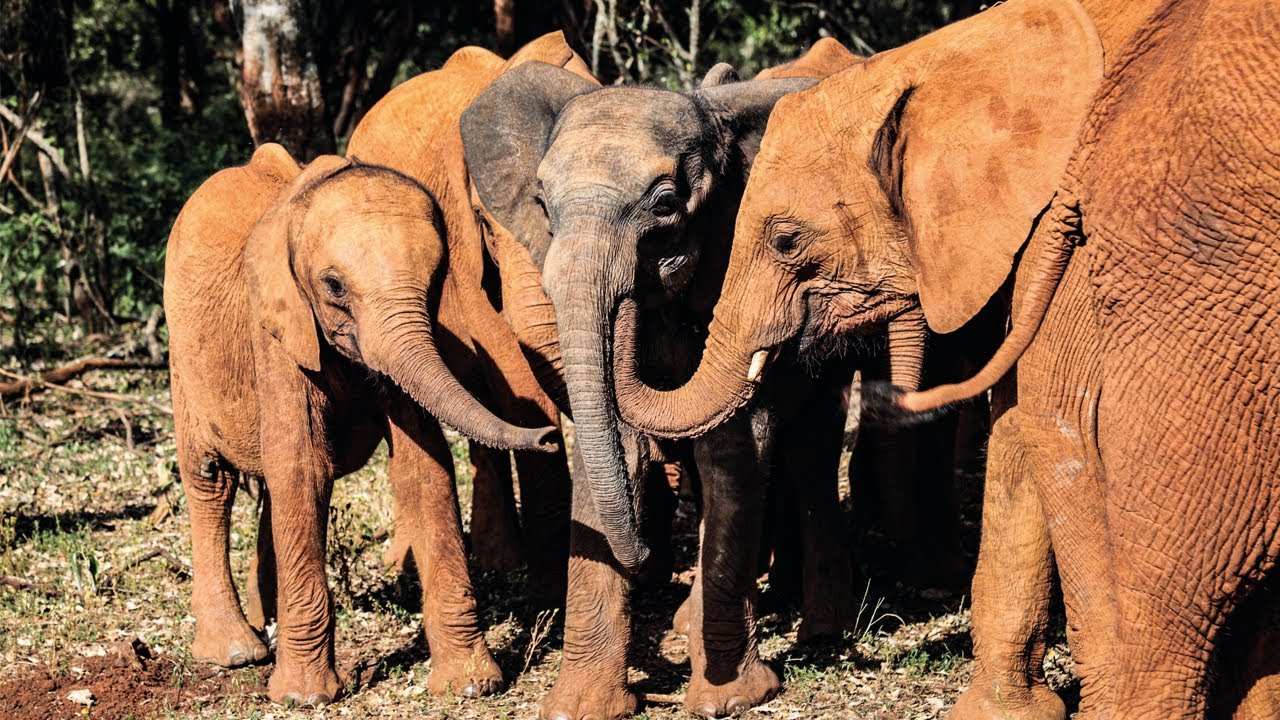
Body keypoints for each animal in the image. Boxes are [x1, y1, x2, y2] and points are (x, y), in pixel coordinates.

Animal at [164, 143, 557, 705]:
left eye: (436, 279)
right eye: (333, 286)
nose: (547, 436)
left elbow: (423, 465)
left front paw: (470, 686)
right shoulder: (278, 327)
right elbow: (303, 467)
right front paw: (303, 699)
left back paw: (267, 624)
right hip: (181, 351)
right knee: (209, 477)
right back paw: (236, 653)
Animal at [612, 0, 1280, 717]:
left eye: (787, 240)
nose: (646, 271)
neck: (940, 59)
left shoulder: (1072, 229)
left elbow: (1046, 414)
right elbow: (1018, 418)